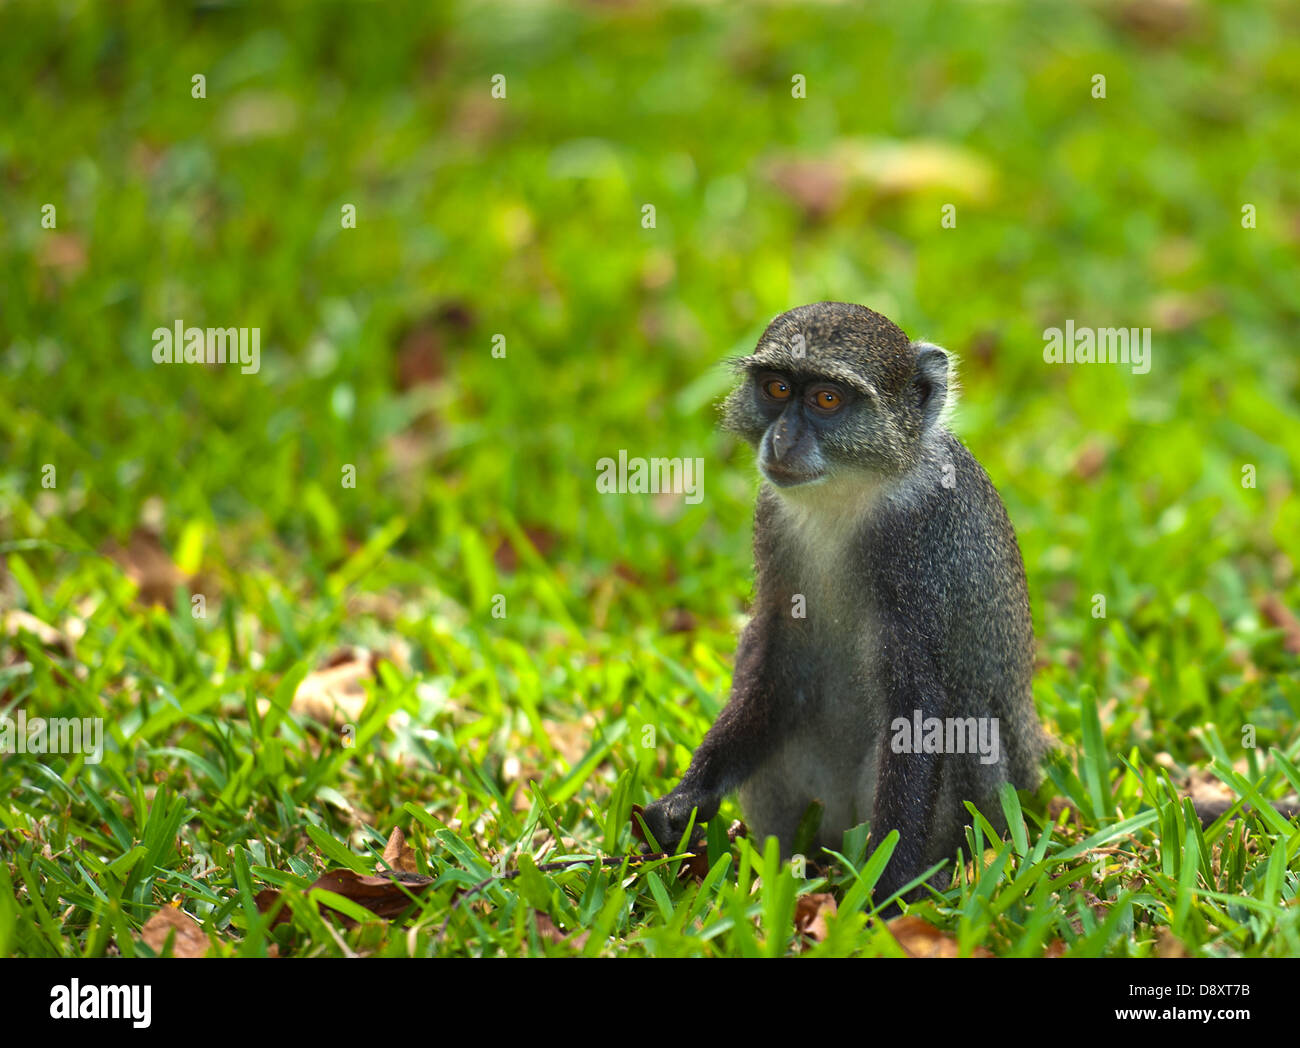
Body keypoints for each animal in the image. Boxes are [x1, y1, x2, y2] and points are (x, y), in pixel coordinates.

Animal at [639, 302, 1048, 908]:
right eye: (777, 388)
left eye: (827, 399)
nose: (782, 439)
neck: (850, 492)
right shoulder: (772, 520)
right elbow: (775, 660)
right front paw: (685, 800)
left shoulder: (923, 539)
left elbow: (921, 704)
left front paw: (890, 888)